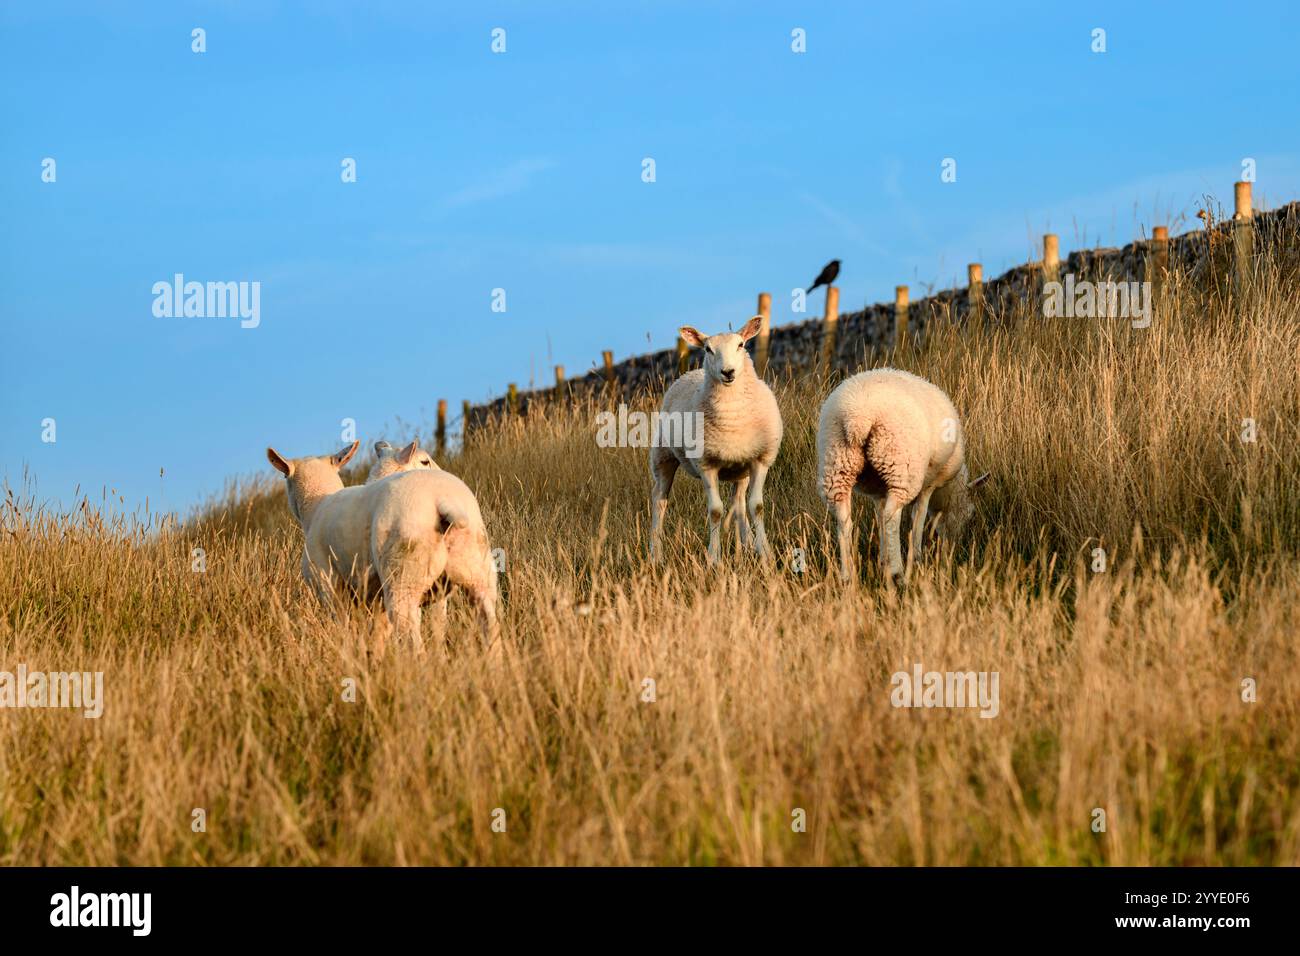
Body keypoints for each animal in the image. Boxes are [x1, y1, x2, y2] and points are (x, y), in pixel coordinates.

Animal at [649, 315, 783, 565]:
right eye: (708, 349)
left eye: (741, 344)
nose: (727, 372)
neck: (732, 416)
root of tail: (689, 372)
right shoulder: (706, 465)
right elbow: (715, 511)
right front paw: (714, 559)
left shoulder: (760, 460)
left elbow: (756, 506)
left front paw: (765, 554)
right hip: (663, 456)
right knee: (659, 500)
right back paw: (656, 554)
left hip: (741, 469)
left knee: (739, 503)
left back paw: (747, 545)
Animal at [816, 368, 988, 586]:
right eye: (970, 514)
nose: (954, 546)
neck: (948, 488)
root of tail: (858, 418)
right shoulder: (928, 485)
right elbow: (917, 518)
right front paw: (916, 559)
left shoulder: (879, 492)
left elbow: (879, 516)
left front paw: (883, 561)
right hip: (901, 466)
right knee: (892, 515)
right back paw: (898, 573)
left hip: (837, 463)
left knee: (844, 518)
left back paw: (847, 576)